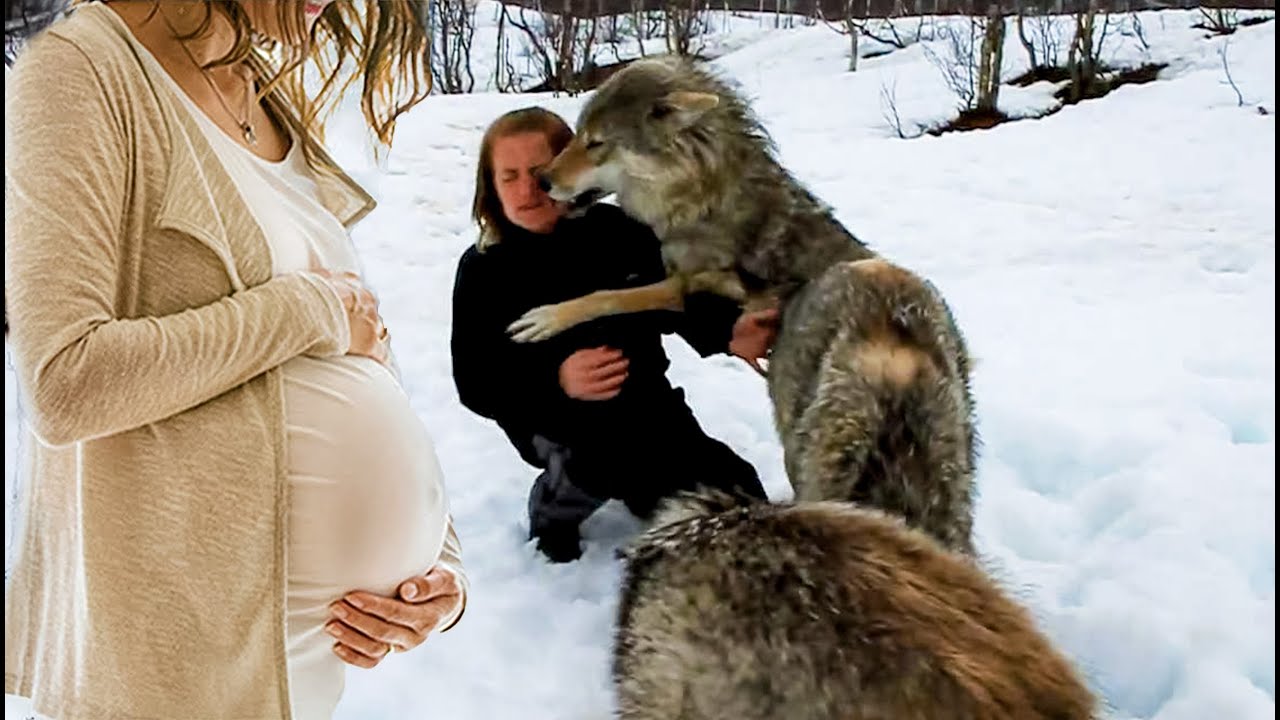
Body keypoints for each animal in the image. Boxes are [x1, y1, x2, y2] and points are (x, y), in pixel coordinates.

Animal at [506, 56, 978, 554]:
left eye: (596, 143)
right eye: (576, 135)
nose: (542, 180)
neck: (703, 197)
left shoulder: (687, 285)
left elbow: (609, 296)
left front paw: (544, 318)